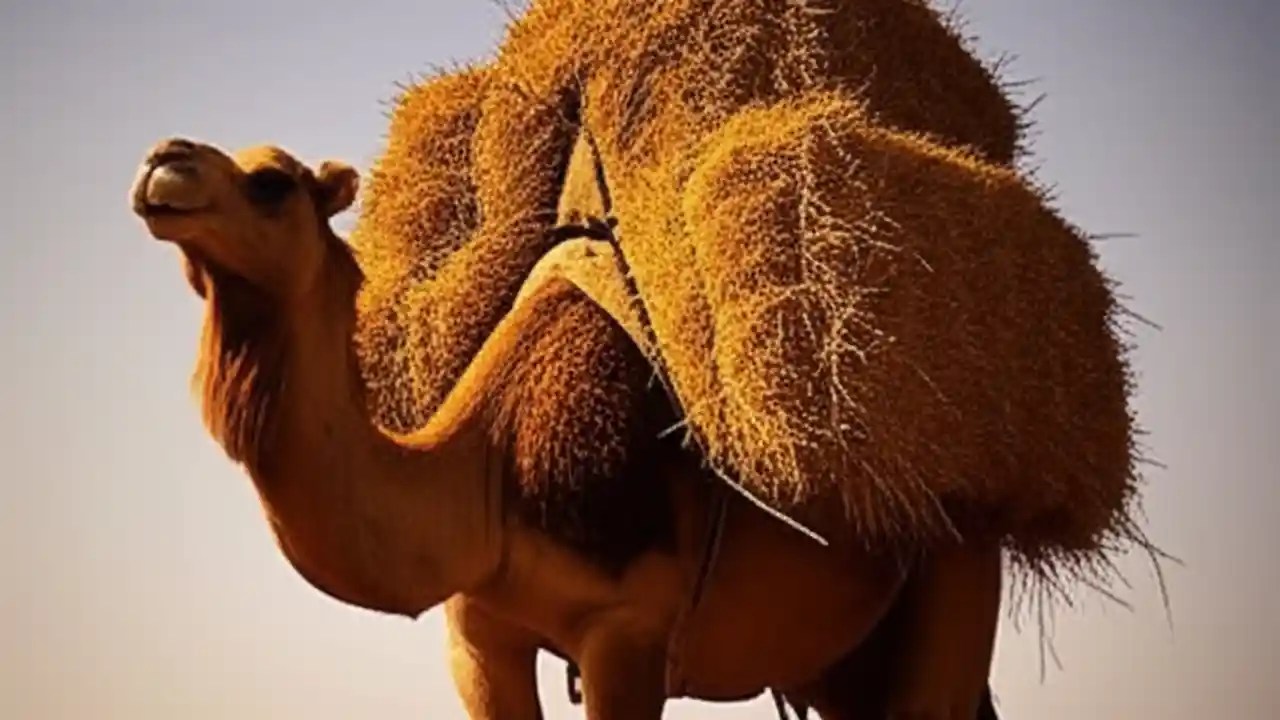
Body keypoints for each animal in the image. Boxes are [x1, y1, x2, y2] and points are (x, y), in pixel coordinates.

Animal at [129, 137, 1006, 718]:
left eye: (271, 182)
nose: (162, 161)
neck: (487, 474)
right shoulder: (478, 636)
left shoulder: (628, 633)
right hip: (836, 664)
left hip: (960, 574)